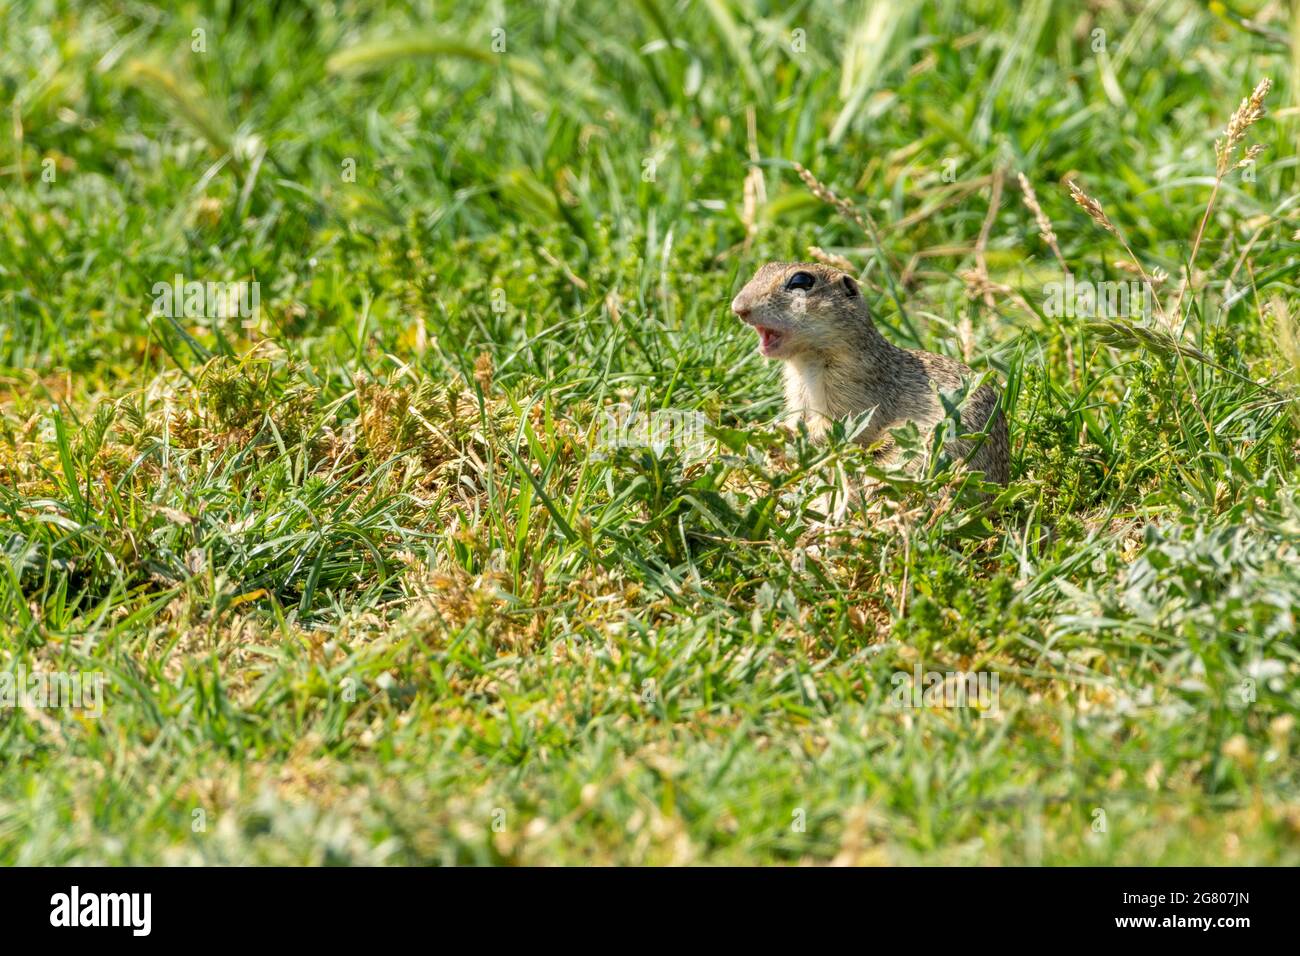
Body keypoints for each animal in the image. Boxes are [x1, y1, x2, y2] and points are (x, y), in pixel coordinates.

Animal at [732, 261, 1009, 485]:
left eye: (801, 281)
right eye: (760, 270)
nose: (737, 308)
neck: (806, 363)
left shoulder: (853, 394)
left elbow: (834, 428)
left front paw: (780, 433)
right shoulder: (798, 396)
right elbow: (797, 417)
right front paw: (770, 431)